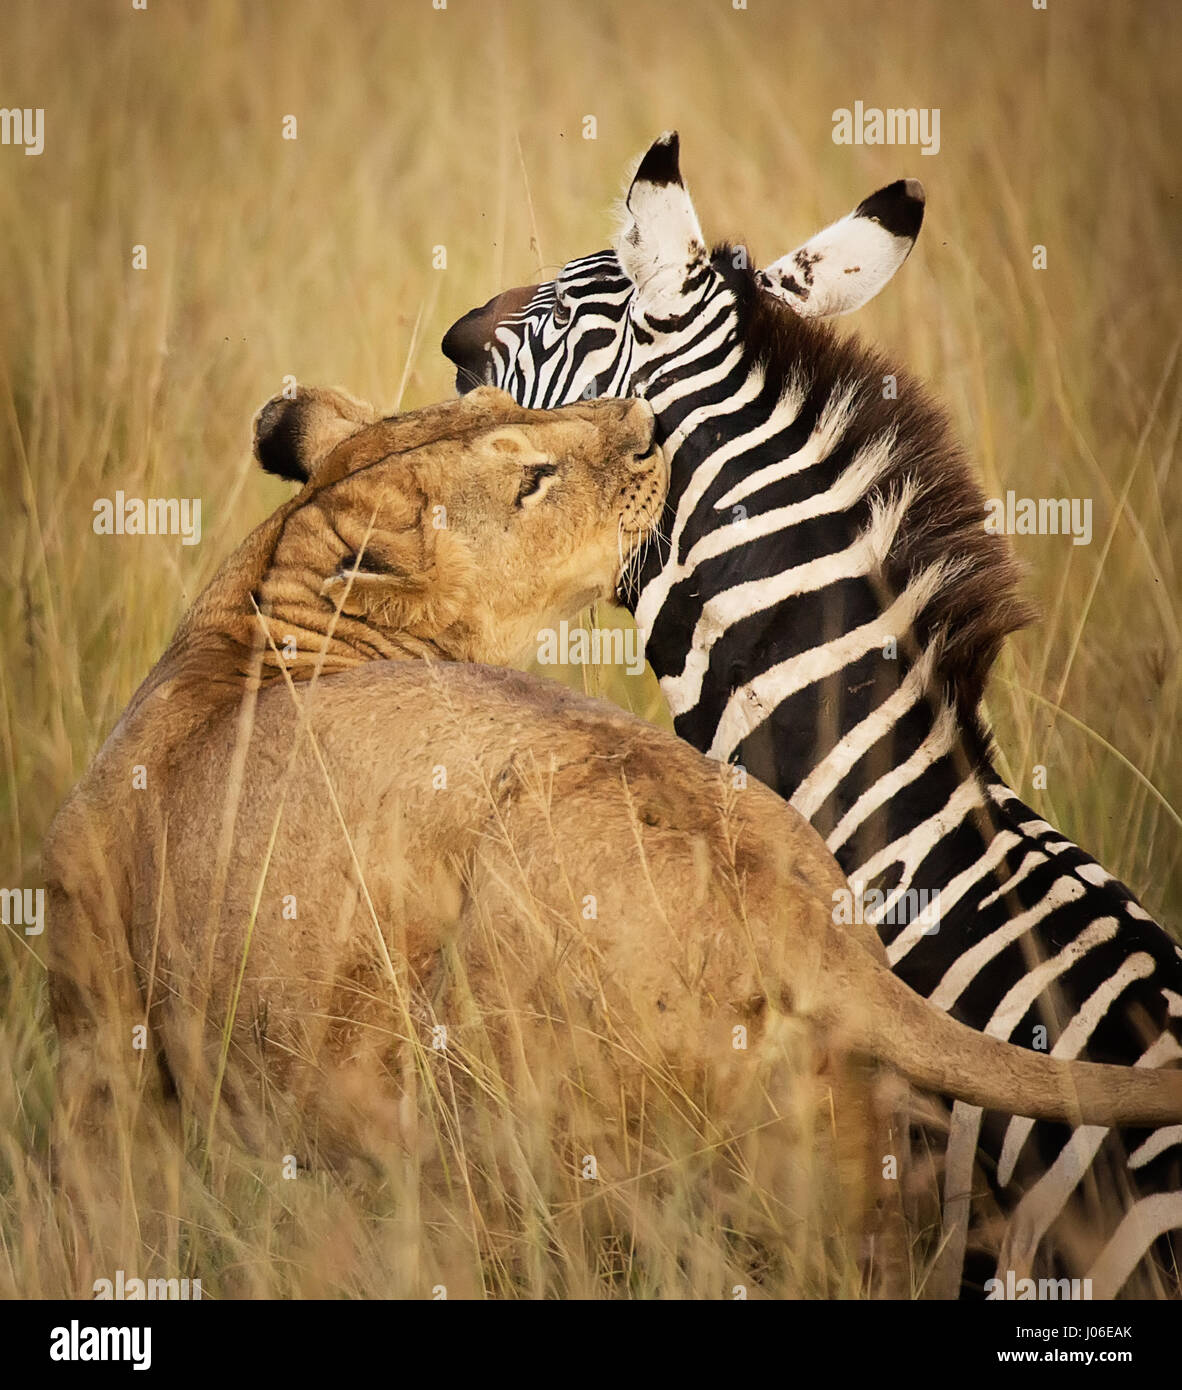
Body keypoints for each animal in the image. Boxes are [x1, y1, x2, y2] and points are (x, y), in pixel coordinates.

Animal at [42, 386, 1182, 1292]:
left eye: (504, 394)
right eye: (532, 477)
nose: (645, 426)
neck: (267, 617)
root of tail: (799, 915)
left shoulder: (105, 1051)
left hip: (505, 1145)